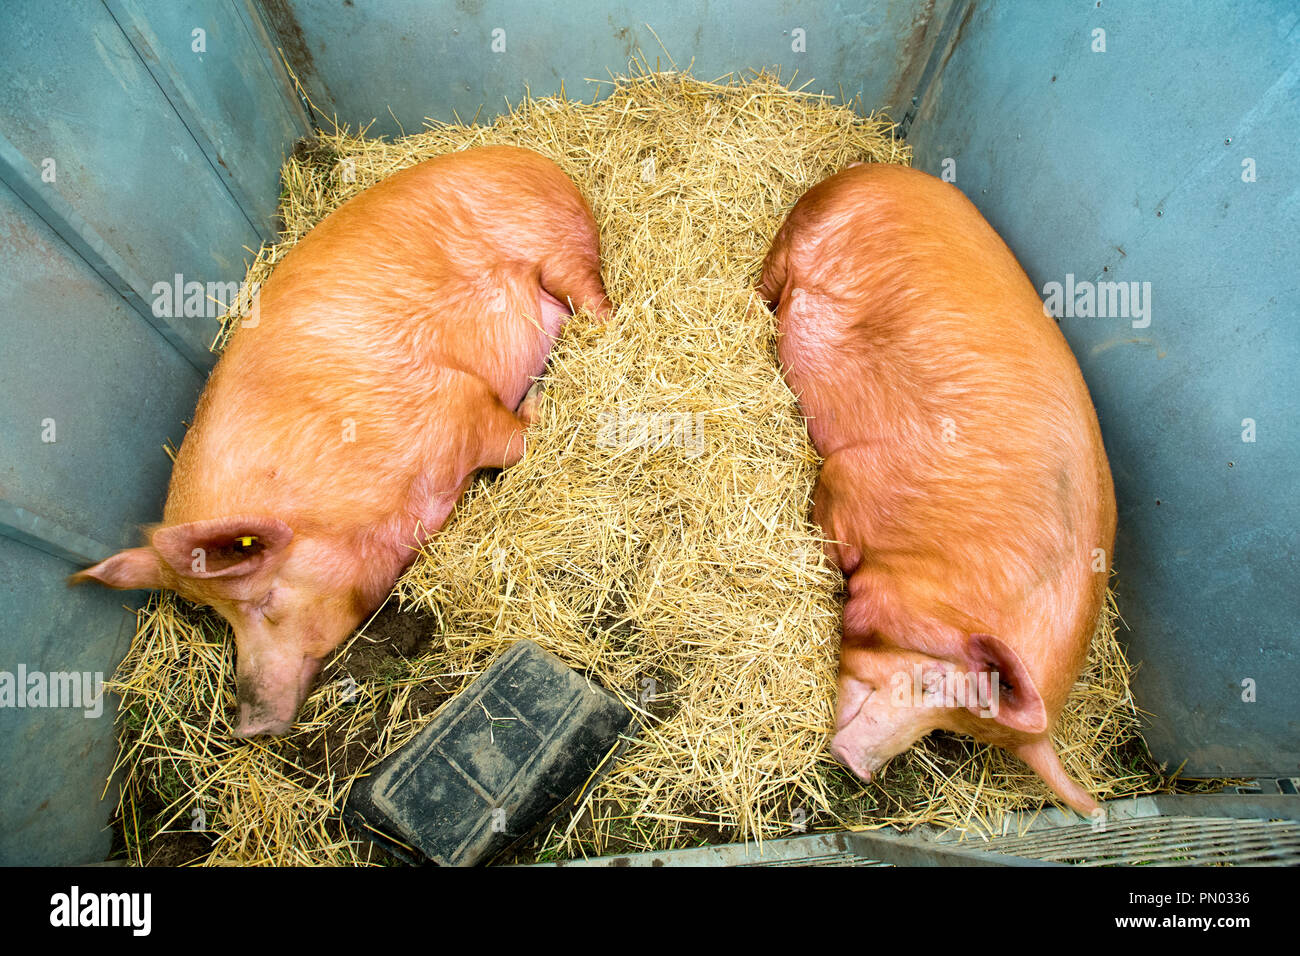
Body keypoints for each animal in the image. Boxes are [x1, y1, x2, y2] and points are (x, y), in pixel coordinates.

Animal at [72, 145, 610, 736]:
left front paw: (537, 399)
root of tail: (530, 155)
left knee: (595, 304)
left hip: (559, 249)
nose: (248, 727)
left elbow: (519, 441)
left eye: (262, 599)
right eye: (219, 615)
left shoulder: (457, 405)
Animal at [759, 163, 1116, 816]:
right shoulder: (849, 481)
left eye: (948, 730)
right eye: (932, 681)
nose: (857, 766)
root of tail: (873, 167)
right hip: (793, 238)